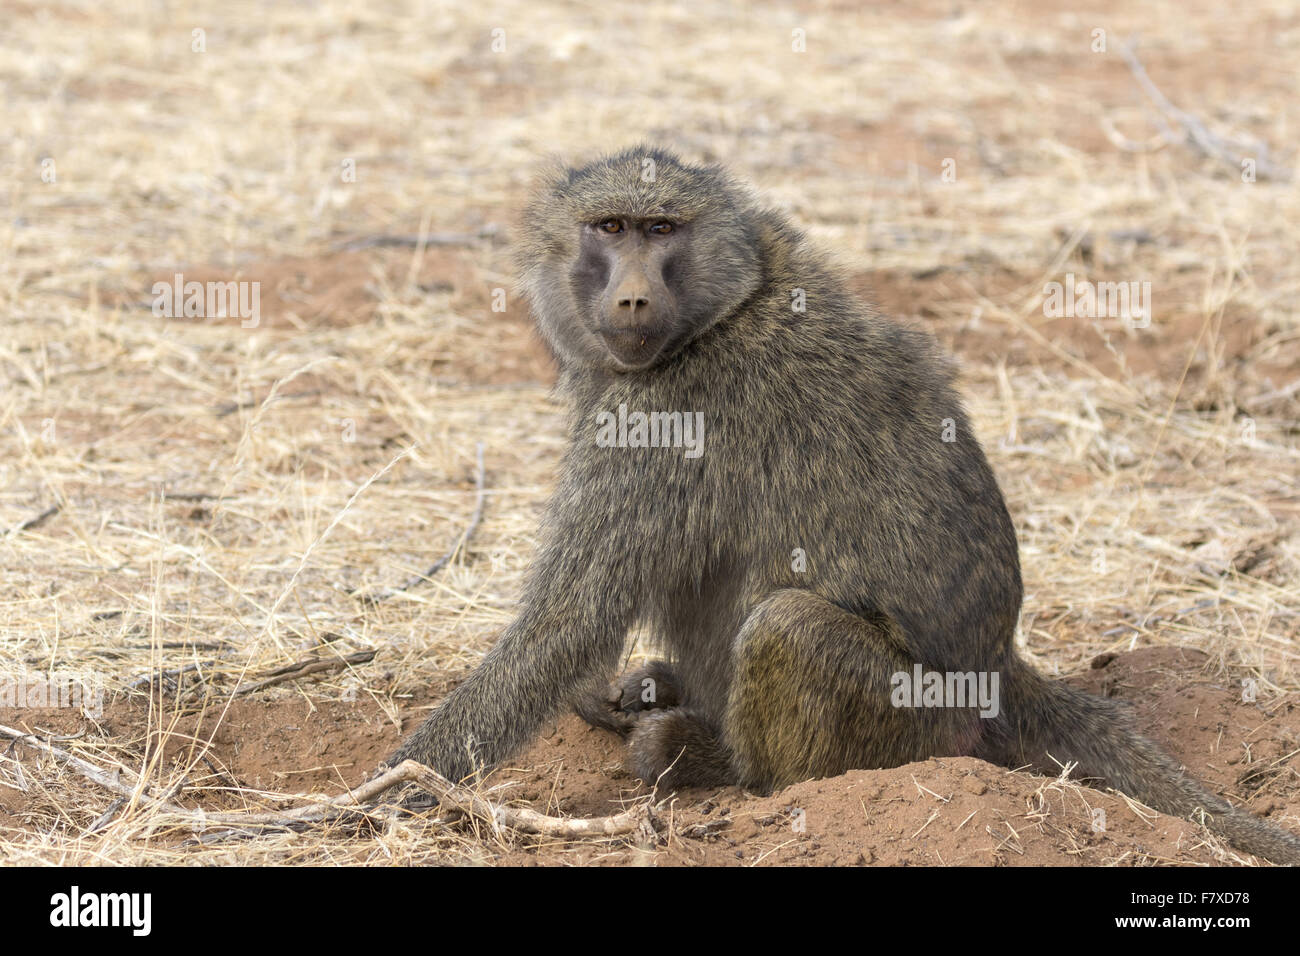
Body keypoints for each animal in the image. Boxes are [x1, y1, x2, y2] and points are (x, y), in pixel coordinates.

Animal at [388, 145, 1300, 865]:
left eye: (662, 231)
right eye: (609, 228)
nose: (635, 299)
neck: (728, 302)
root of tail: (997, 667)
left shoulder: (663, 417)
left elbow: (565, 622)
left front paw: (388, 789)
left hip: (913, 723)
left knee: (787, 627)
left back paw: (706, 758)